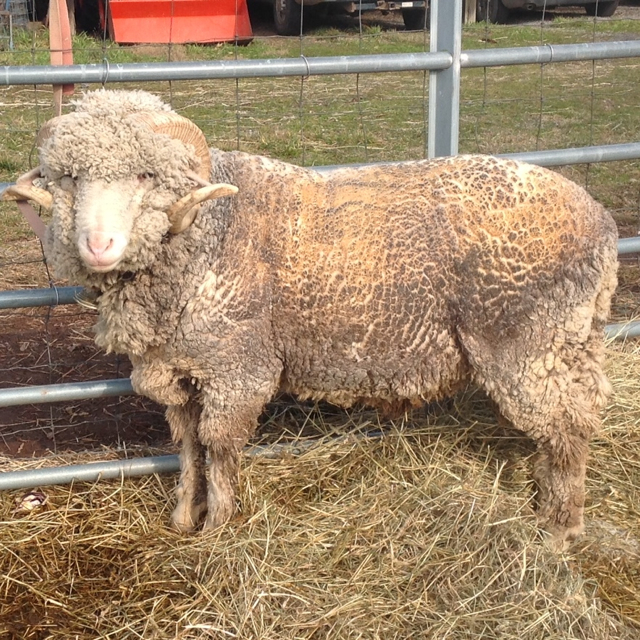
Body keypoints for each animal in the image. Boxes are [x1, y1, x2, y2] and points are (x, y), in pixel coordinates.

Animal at [4, 89, 618, 550]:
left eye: (147, 176)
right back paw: (548, 497)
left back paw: (560, 530)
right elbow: (186, 445)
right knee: (579, 417)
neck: (207, 232)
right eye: (68, 179)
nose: (98, 245)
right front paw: (182, 519)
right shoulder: (178, 370)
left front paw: (218, 528)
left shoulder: (237, 369)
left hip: (526, 345)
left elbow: (219, 447)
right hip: (569, 342)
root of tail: (603, 223)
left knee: (567, 426)